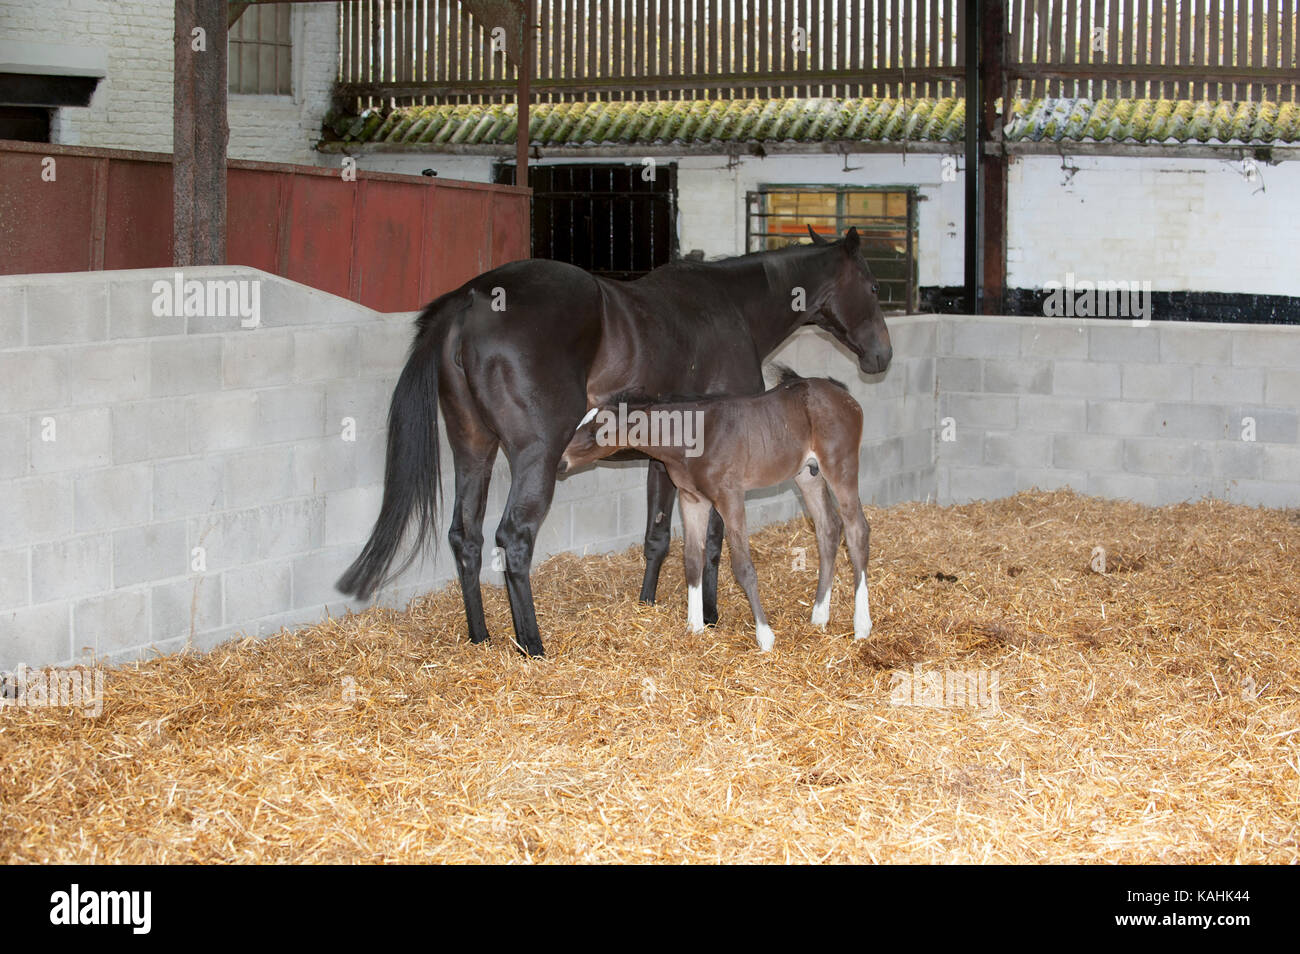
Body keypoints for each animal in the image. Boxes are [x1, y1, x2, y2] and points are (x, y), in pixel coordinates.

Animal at [558, 368, 872, 652]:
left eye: (598, 430)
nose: (561, 463)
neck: (693, 437)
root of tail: (843, 393)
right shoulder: (692, 499)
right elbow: (691, 560)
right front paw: (694, 627)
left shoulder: (729, 496)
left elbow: (743, 567)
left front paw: (765, 637)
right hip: (808, 475)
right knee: (828, 528)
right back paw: (819, 616)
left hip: (841, 467)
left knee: (857, 529)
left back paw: (862, 626)